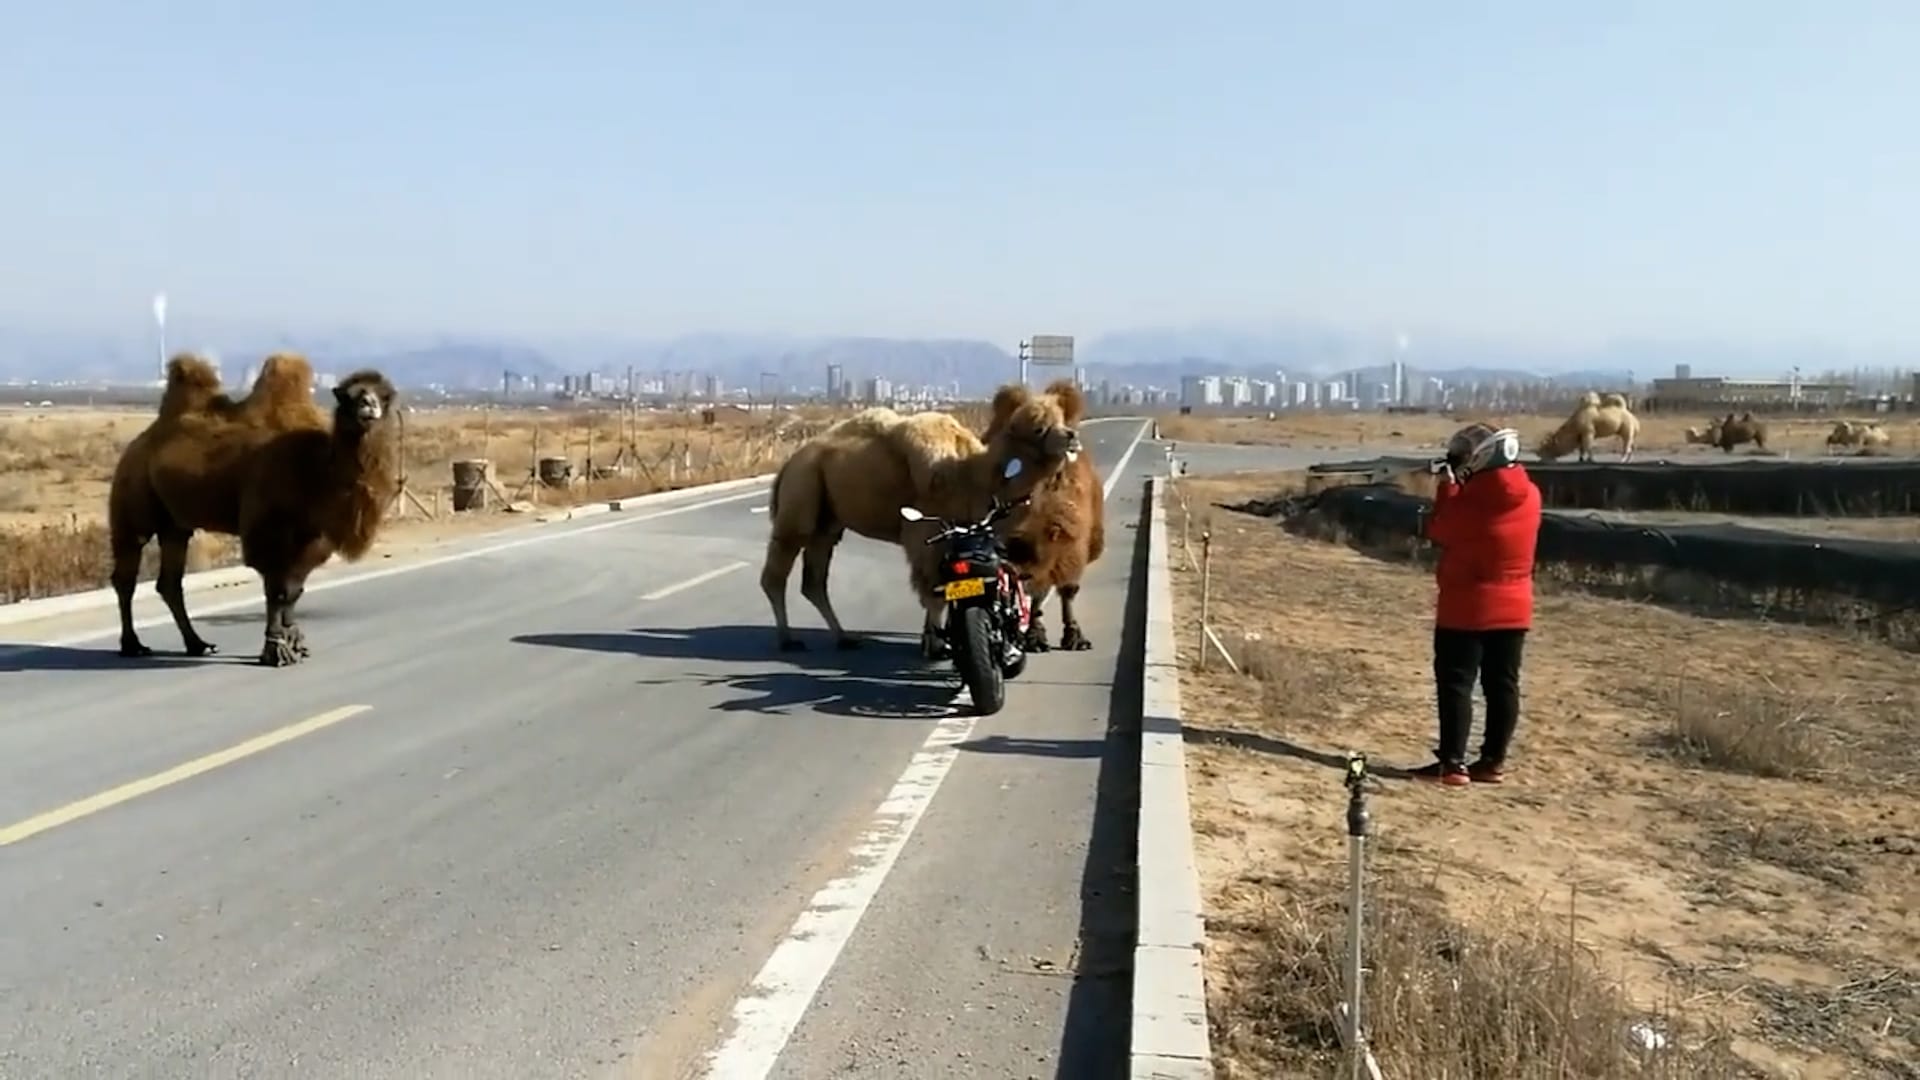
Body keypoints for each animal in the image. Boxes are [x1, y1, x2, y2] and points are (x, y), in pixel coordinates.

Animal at [109, 354, 402, 666]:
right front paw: (275, 650)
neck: (317, 468)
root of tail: (136, 445)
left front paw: (296, 643)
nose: (368, 405)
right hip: (132, 499)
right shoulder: (267, 528)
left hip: (175, 525)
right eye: (349, 396)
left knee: (170, 581)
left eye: (386, 395)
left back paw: (198, 644)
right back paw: (133, 645)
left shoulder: (314, 536)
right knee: (126, 575)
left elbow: (294, 590)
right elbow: (277, 590)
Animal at [759, 384, 1083, 656]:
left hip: (827, 519)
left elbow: (942, 587)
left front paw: (935, 641)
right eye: (1039, 427)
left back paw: (845, 638)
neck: (972, 473)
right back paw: (788, 640)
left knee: (814, 580)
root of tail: (788, 464)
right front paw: (935, 645)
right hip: (802, 490)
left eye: (1061, 418)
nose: (1071, 436)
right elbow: (933, 590)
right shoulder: (925, 531)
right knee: (779, 566)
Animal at [983, 379, 1104, 652]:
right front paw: (1034, 637)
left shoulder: (1068, 536)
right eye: (1039, 428)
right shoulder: (1019, 543)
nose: (1070, 436)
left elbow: (1067, 587)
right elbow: (1031, 587)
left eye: (1061, 419)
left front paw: (1075, 637)